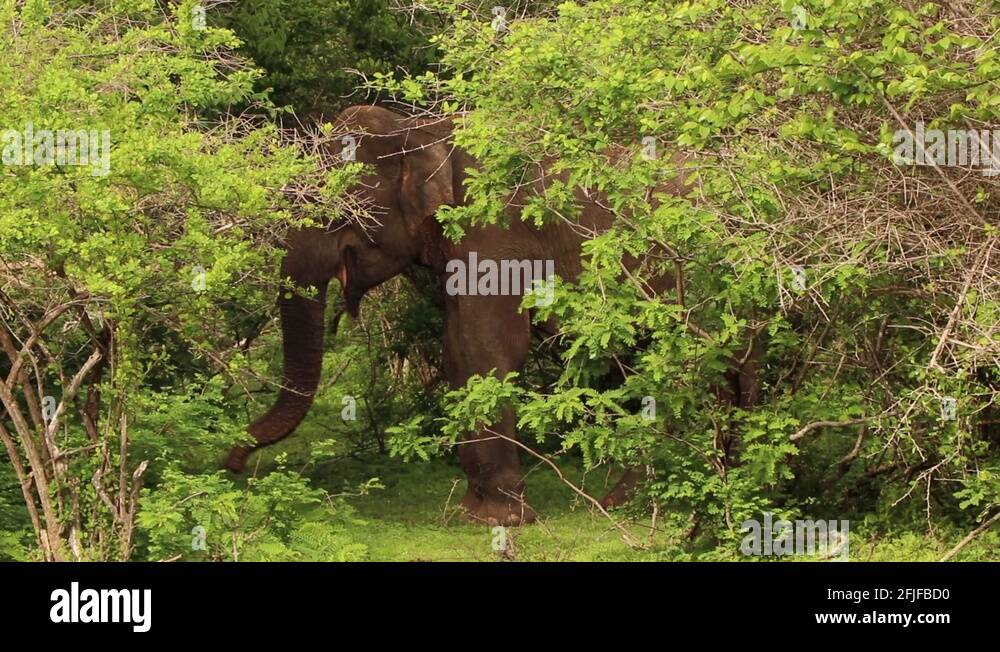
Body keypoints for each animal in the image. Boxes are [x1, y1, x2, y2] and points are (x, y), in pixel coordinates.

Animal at [224, 105, 696, 525]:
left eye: (342, 208)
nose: (234, 465)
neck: (422, 129)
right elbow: (456, 345)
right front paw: (471, 511)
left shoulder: (492, 228)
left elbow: (487, 342)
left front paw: (501, 519)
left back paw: (629, 505)